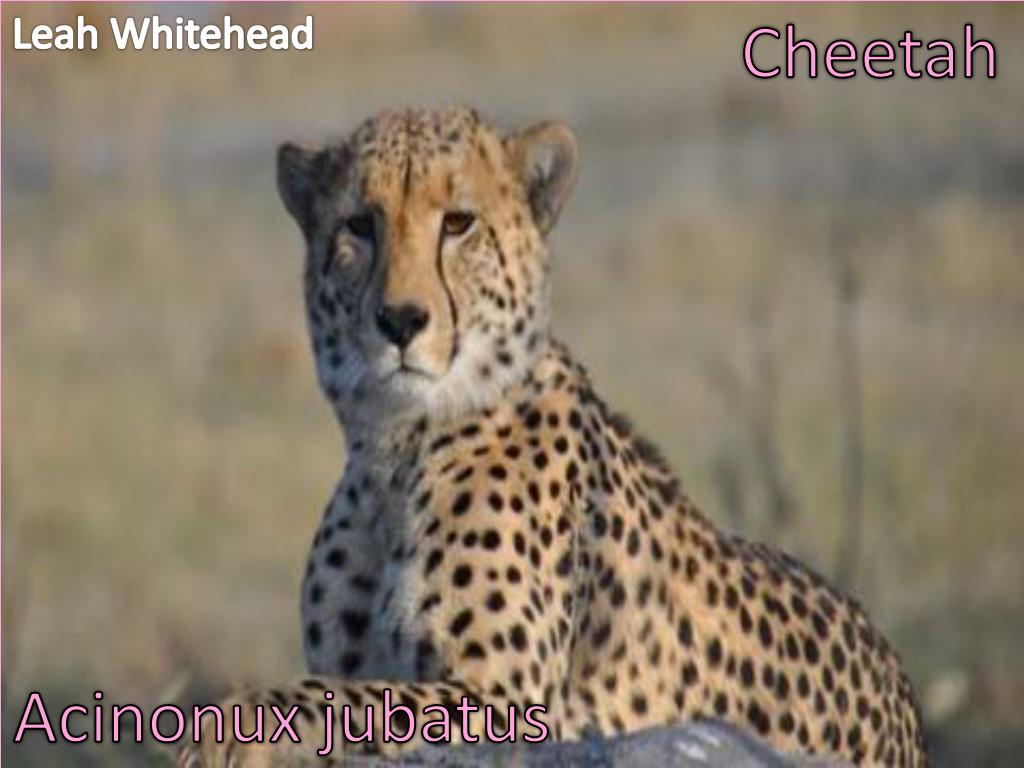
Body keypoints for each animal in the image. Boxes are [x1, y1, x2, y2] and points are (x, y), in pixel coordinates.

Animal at [180, 106, 927, 766]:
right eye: (358, 226)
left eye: (459, 223)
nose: (400, 320)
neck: (396, 451)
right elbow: (337, 688)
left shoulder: (504, 699)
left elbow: (335, 698)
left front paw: (223, 730)